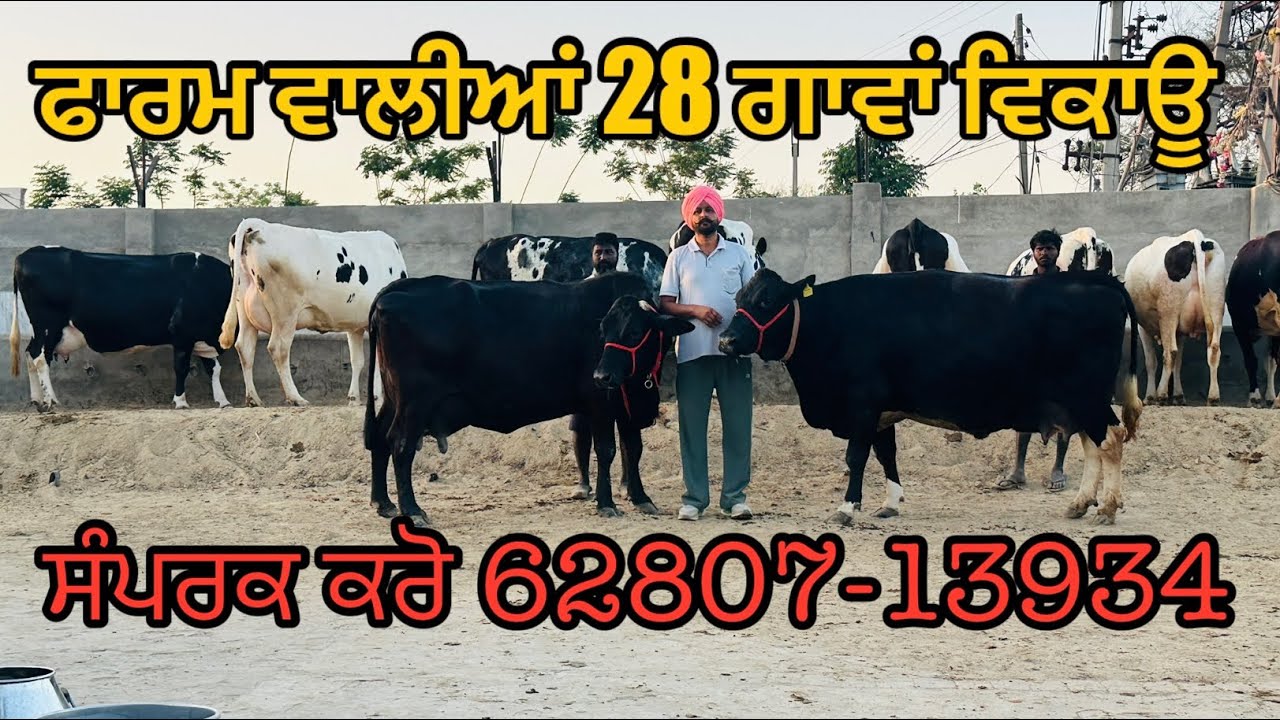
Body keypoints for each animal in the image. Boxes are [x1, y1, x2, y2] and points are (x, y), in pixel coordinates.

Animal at [9, 246, 233, 411]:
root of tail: (25, 255)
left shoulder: (201, 336)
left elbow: (214, 369)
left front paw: (223, 401)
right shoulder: (182, 334)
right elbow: (181, 368)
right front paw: (181, 402)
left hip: (42, 330)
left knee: (29, 354)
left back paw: (38, 401)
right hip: (48, 326)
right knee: (39, 357)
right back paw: (51, 401)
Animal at [218, 218, 408, 407]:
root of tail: (258, 224)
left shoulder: (354, 326)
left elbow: (358, 361)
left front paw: (354, 398)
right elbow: (377, 360)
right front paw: (377, 398)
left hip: (244, 308)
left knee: (245, 348)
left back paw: (254, 399)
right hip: (285, 312)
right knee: (278, 348)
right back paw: (296, 398)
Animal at [362, 270, 691, 528]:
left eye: (634, 331)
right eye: (602, 331)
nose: (602, 376)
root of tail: (398, 288)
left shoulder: (627, 405)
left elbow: (632, 449)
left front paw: (641, 498)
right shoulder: (600, 404)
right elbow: (607, 450)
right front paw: (606, 503)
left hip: (394, 400)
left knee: (379, 438)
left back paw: (384, 503)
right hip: (415, 404)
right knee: (400, 445)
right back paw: (412, 510)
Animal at [717, 267, 1142, 526]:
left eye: (765, 302)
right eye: (738, 297)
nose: (726, 341)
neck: (829, 321)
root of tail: (1095, 279)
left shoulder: (862, 405)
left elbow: (856, 458)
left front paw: (846, 508)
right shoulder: (882, 411)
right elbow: (886, 454)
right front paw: (890, 502)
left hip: (1087, 397)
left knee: (1111, 441)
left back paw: (1106, 506)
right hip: (1079, 402)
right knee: (1092, 446)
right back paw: (1081, 503)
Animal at [1123, 229, 1227, 406]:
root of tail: (1194, 238)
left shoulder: (1143, 328)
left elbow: (1151, 362)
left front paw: (1150, 396)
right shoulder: (1180, 332)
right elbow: (1178, 363)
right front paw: (1178, 395)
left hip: (1168, 310)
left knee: (1170, 352)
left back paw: (1161, 394)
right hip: (1216, 307)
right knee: (1213, 350)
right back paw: (1213, 397)